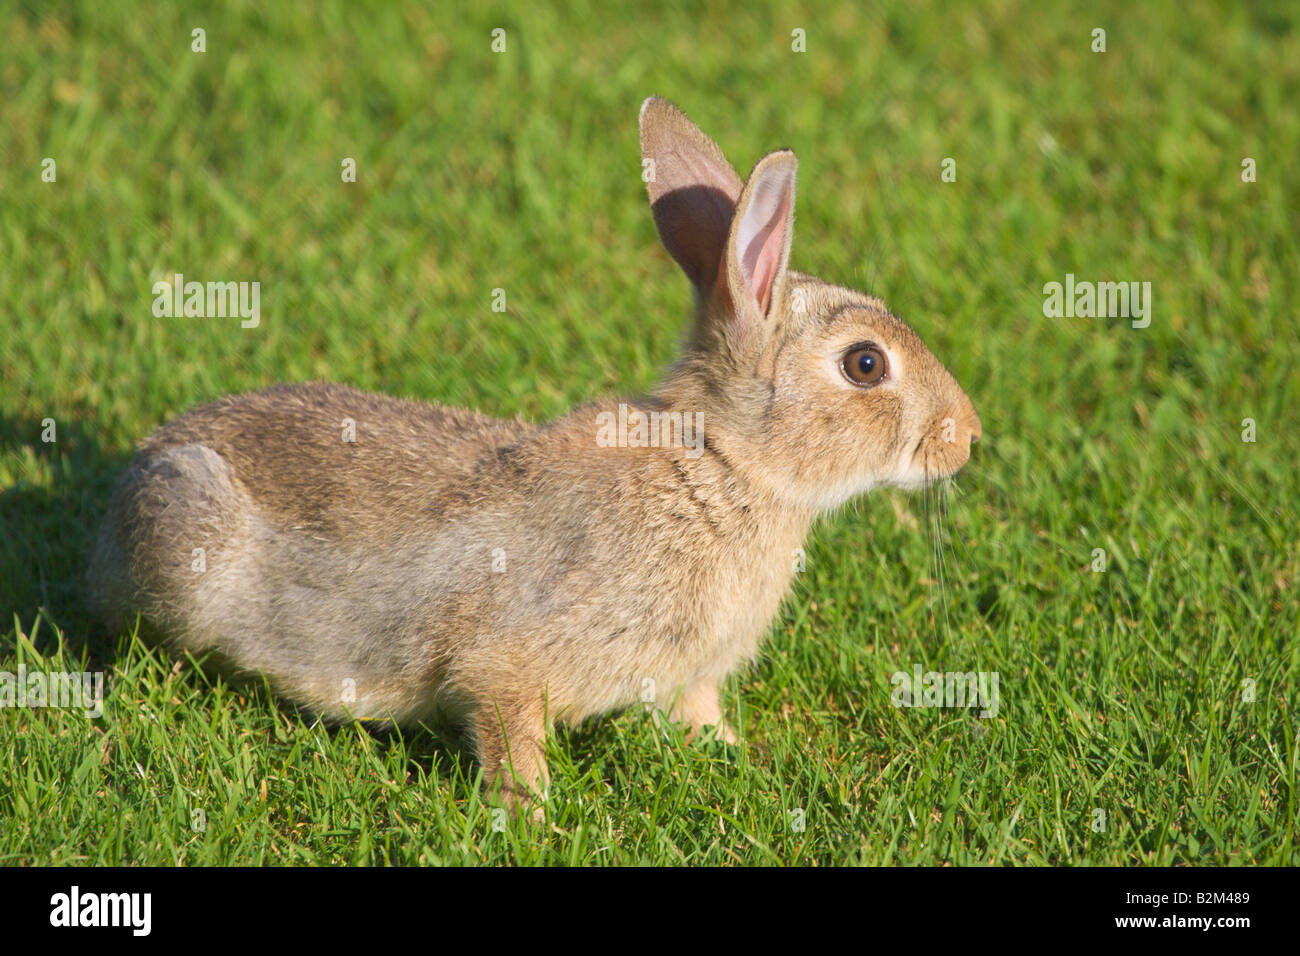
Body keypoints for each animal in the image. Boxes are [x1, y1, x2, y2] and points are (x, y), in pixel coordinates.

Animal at [88, 97, 981, 813]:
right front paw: (531, 814)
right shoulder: (511, 659)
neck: (722, 465)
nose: (968, 436)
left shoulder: (687, 673)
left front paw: (735, 754)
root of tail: (135, 474)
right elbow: (505, 718)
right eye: (864, 365)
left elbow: (696, 714)